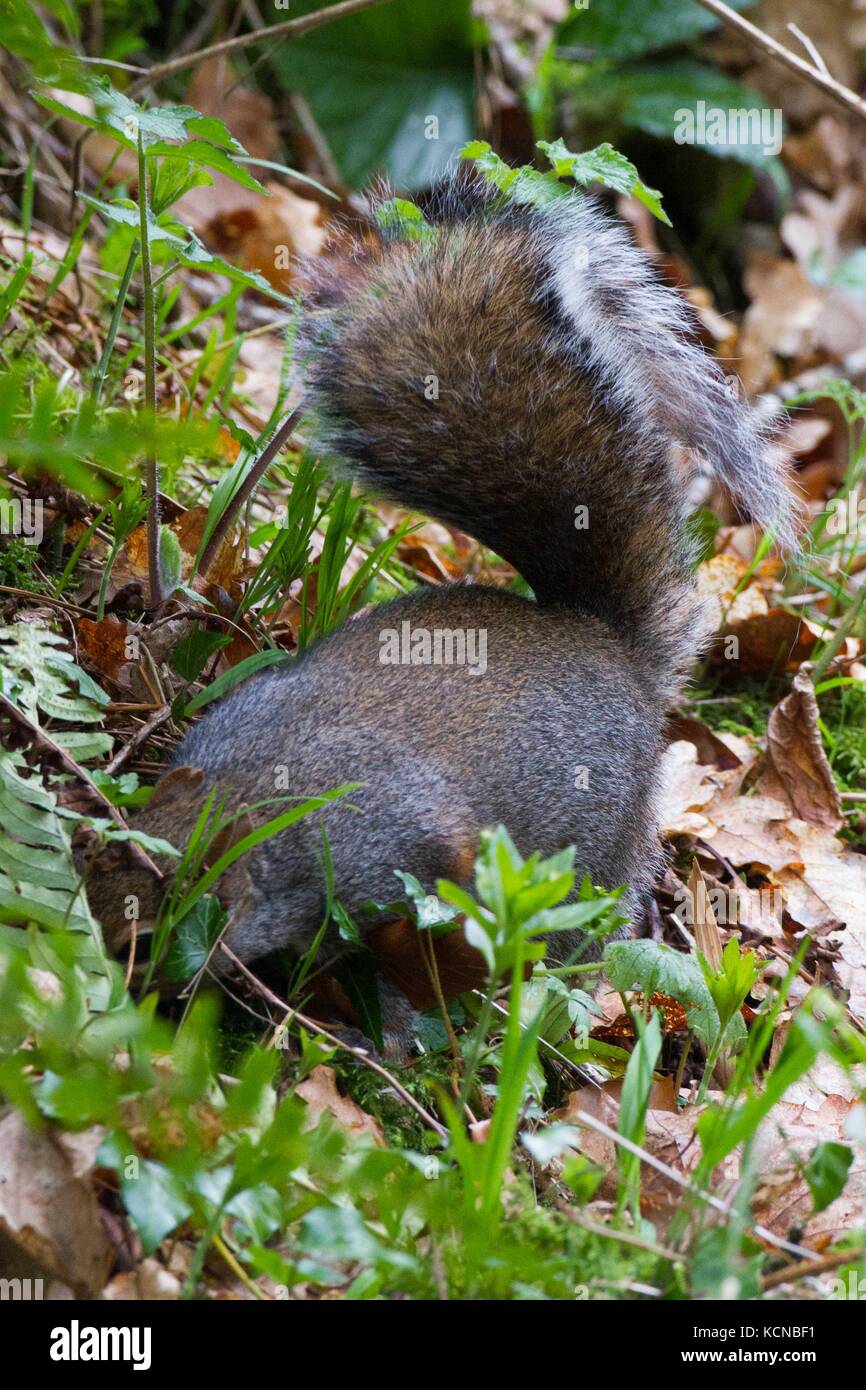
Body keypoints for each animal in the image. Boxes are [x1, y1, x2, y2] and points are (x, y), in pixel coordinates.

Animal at [84, 172, 795, 1053]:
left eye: (148, 937)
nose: (99, 990)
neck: (257, 798)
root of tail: (609, 645)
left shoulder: (399, 852)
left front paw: (379, 1030)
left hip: (595, 852)